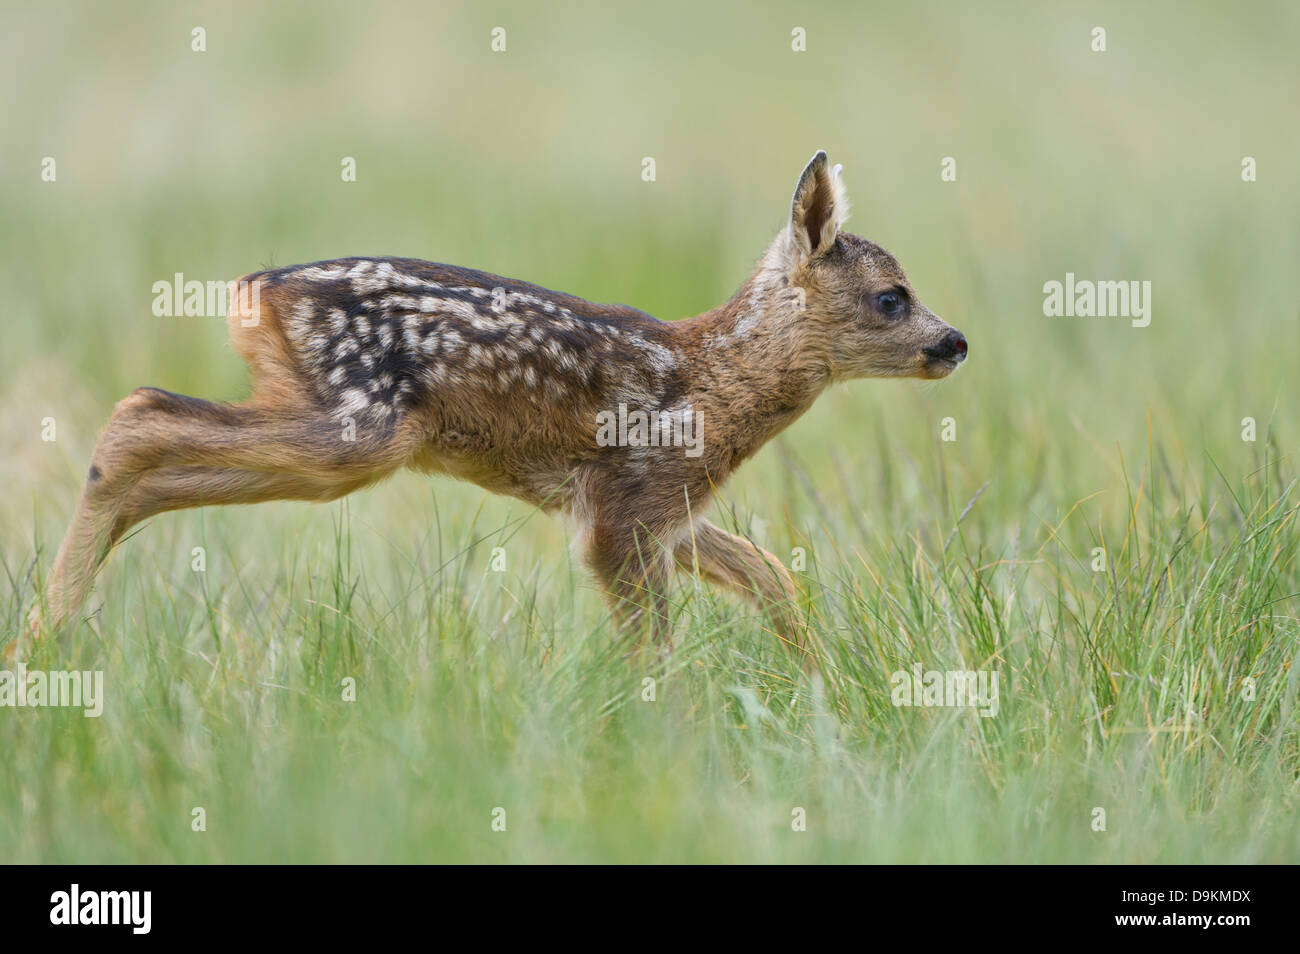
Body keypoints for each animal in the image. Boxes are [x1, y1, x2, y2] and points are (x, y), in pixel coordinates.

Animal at [7, 151, 967, 666]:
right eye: (892, 297)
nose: (955, 342)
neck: (712, 381)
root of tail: (254, 293)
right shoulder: (623, 510)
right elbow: (656, 646)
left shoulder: (660, 509)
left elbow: (773, 574)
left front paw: (818, 681)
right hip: (358, 427)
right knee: (139, 413)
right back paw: (41, 645)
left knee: (148, 461)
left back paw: (45, 641)